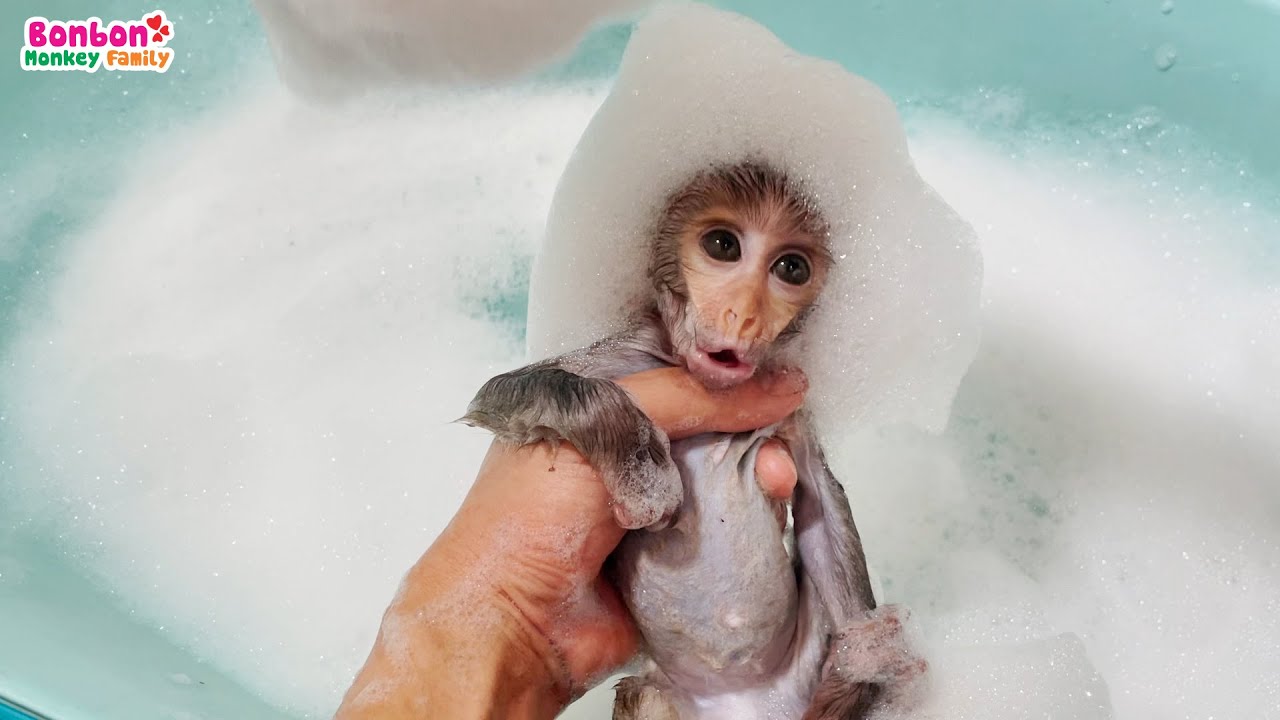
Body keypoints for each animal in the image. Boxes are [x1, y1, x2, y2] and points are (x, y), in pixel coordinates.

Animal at [463, 161, 926, 719]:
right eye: (723, 245)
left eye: (792, 269)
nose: (744, 316)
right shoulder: (624, 355)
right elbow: (511, 390)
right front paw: (646, 476)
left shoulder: (793, 408)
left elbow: (820, 499)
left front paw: (863, 674)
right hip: (662, 697)